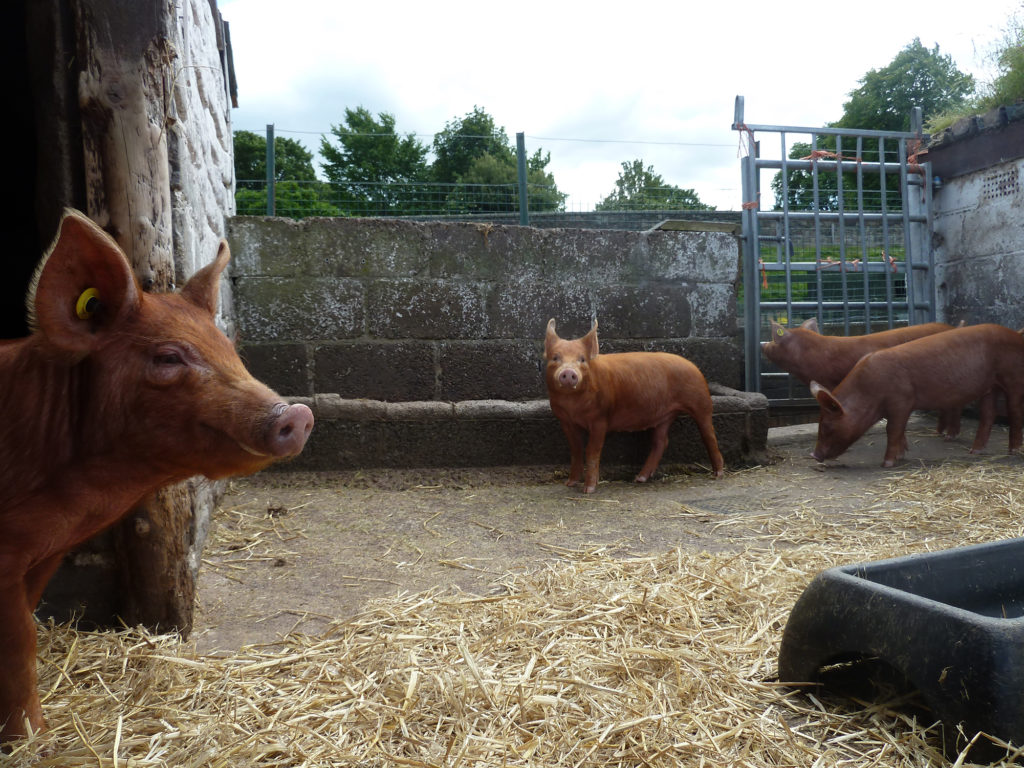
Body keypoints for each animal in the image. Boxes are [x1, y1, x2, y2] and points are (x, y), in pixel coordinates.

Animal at [0, 210, 314, 745]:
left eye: (229, 348)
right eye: (168, 357)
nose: (297, 412)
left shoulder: (45, 551)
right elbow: (19, 644)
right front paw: (33, 742)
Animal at [544, 318, 724, 493]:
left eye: (582, 359)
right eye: (555, 358)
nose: (568, 372)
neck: (572, 405)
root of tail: (694, 367)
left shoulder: (600, 418)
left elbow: (592, 450)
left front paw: (588, 490)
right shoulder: (565, 420)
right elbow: (575, 449)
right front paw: (569, 484)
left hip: (701, 402)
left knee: (709, 435)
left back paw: (717, 474)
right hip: (665, 416)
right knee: (661, 441)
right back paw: (640, 478)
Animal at [810, 324, 1024, 467]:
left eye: (826, 426)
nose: (814, 455)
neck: (868, 392)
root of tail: (1016, 335)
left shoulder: (901, 401)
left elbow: (892, 429)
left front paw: (887, 463)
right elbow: (899, 430)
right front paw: (901, 455)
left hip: (1013, 376)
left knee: (1014, 411)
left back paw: (1013, 451)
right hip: (990, 386)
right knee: (988, 414)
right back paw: (975, 451)